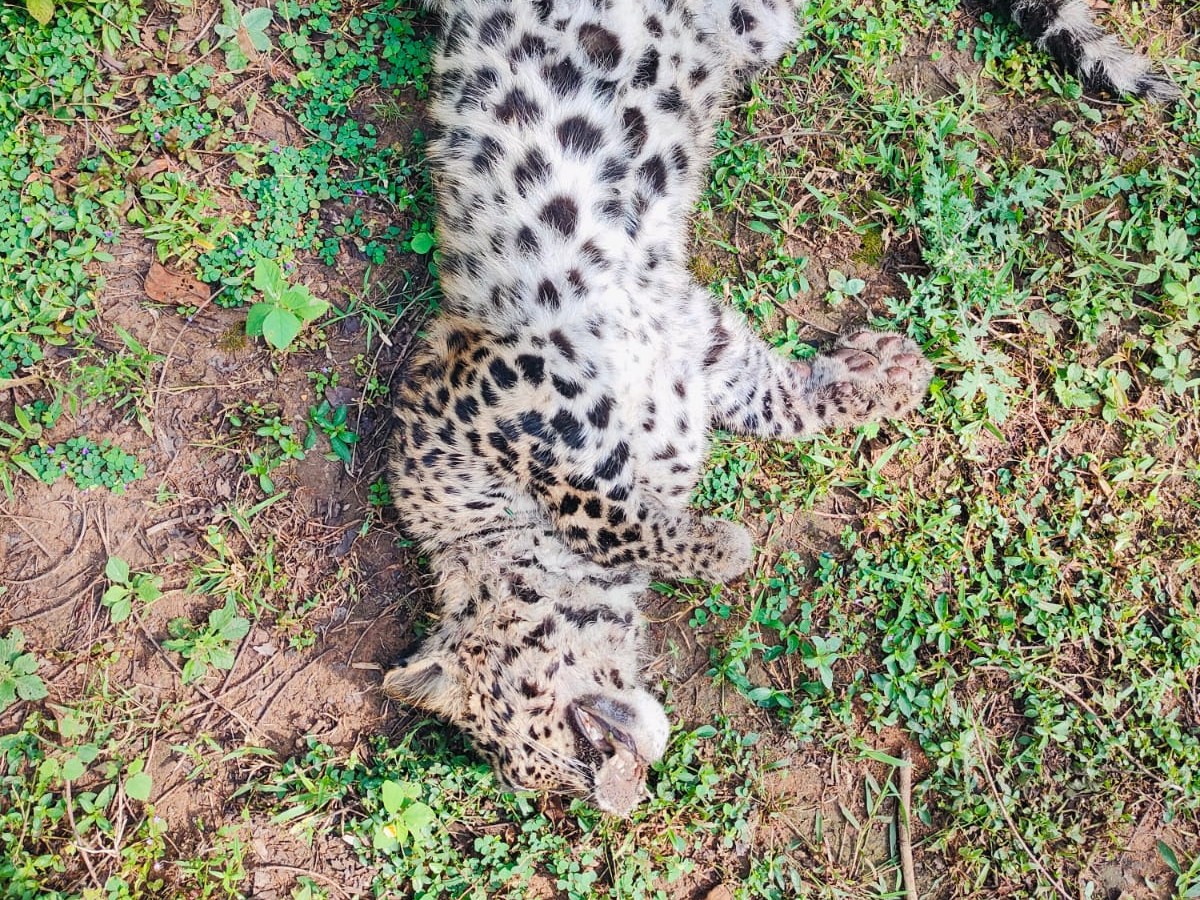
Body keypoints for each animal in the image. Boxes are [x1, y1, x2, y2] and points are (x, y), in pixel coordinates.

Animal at [383, 0, 1177, 816]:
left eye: (536, 752)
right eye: (538, 778)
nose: (619, 801)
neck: (487, 539)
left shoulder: (501, 405)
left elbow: (604, 511)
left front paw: (724, 539)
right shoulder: (693, 341)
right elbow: (766, 410)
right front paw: (884, 378)